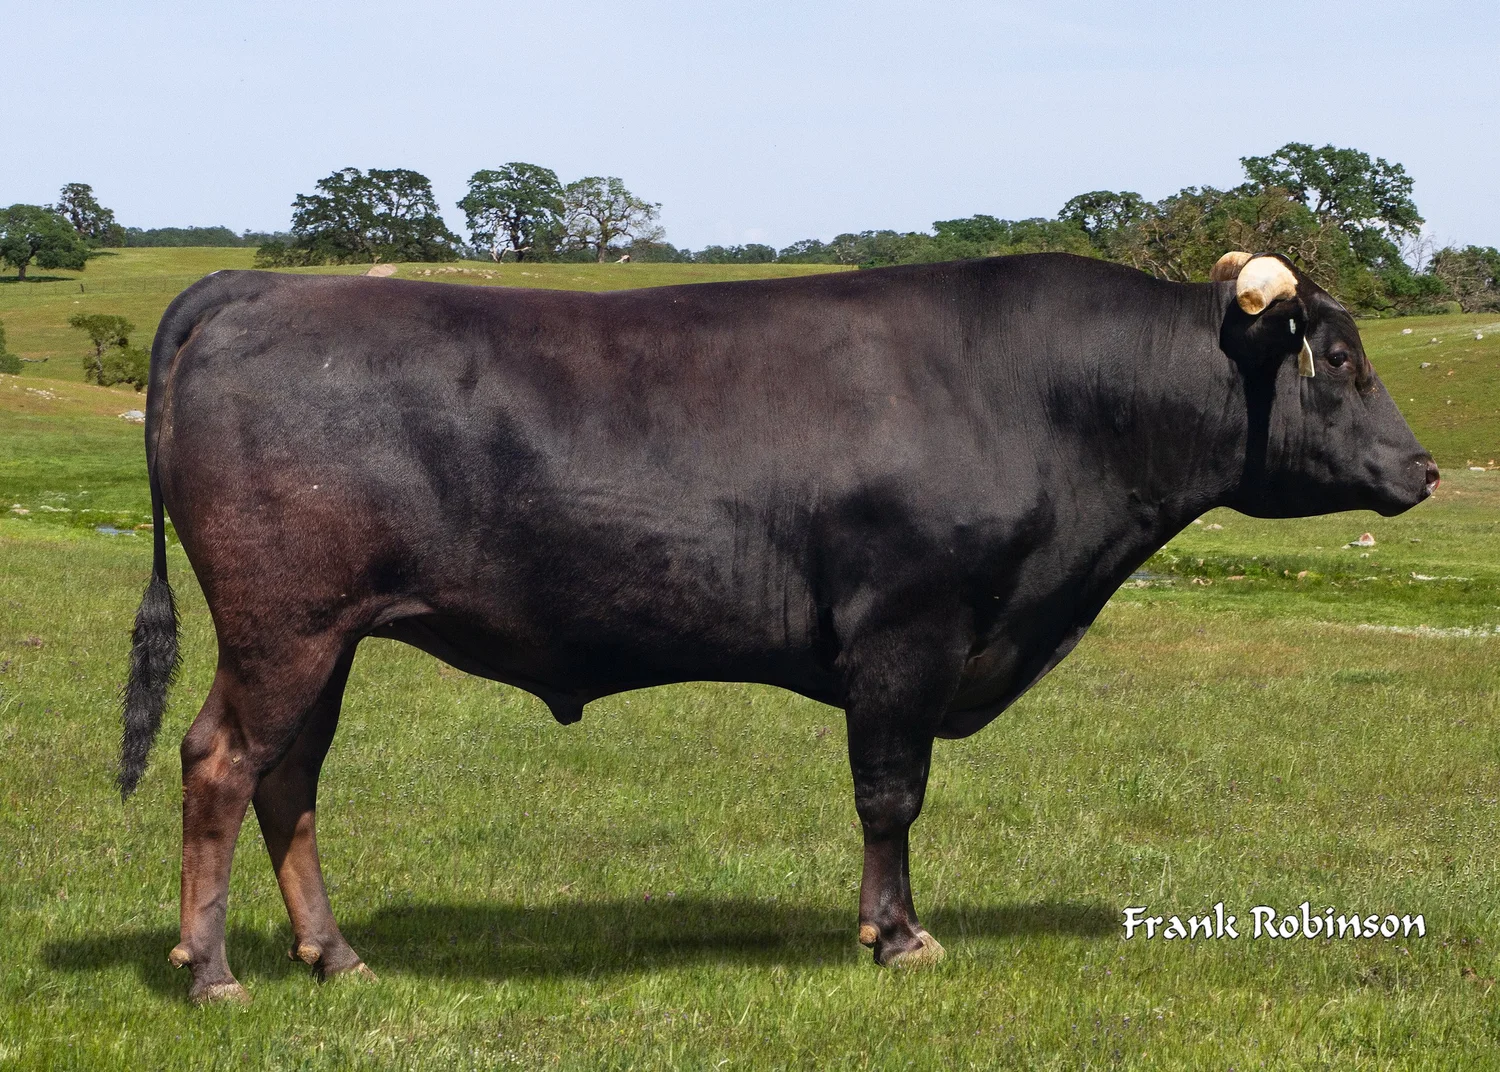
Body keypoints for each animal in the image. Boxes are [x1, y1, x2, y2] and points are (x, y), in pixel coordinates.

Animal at [119, 251, 1437, 1003]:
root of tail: (262, 285)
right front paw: (897, 935)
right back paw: (214, 974)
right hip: (283, 625)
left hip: (321, 638)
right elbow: (891, 794)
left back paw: (334, 956)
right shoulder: (909, 632)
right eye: (1342, 356)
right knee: (222, 766)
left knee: (287, 780)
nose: (1423, 469)